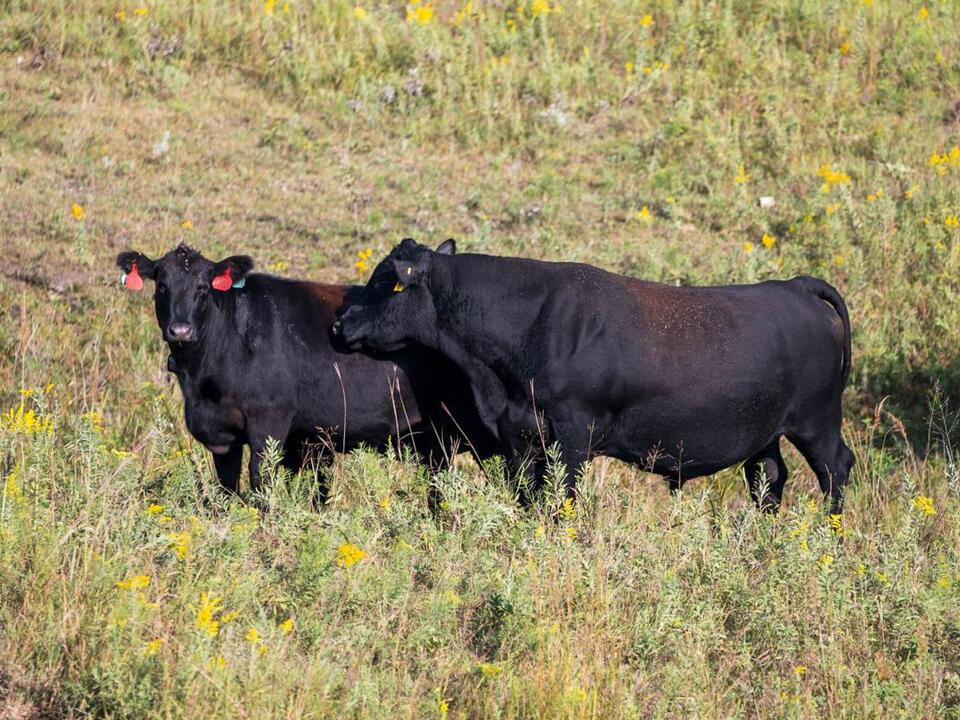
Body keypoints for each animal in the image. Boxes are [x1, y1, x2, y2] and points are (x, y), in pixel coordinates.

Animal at [116, 244, 496, 497]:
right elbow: (228, 488)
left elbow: (261, 484)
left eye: (202, 288)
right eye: (161, 285)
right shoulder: (224, 437)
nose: (180, 330)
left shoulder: (269, 423)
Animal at [333, 238, 855, 513]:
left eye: (389, 283)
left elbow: (563, 494)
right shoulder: (521, 433)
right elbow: (529, 496)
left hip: (816, 420)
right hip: (764, 431)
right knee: (768, 476)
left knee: (835, 467)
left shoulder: (573, 431)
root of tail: (793, 285)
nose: (340, 323)